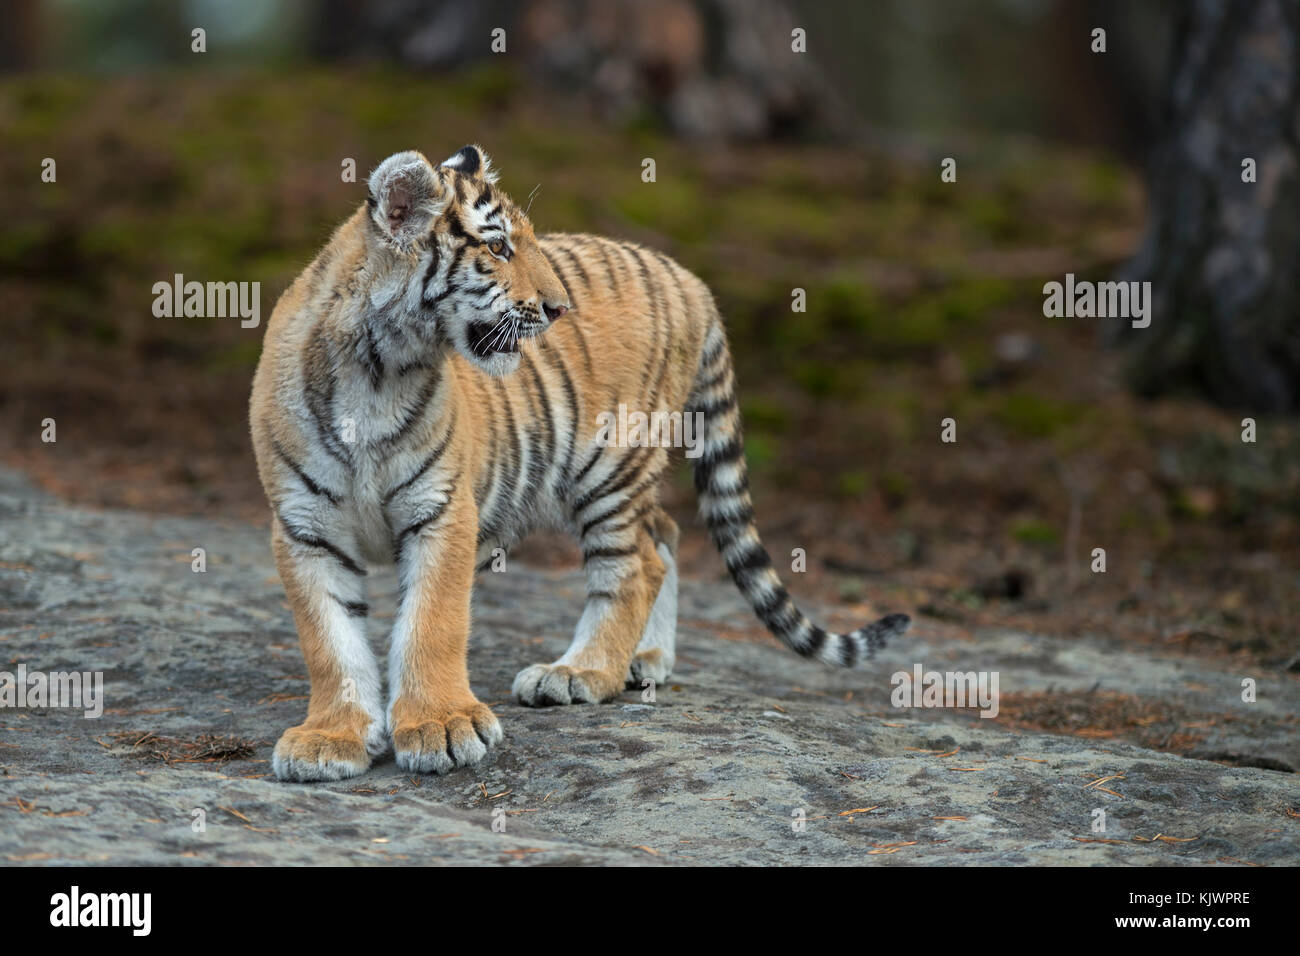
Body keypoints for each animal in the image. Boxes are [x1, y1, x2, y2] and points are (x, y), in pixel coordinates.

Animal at [249, 145, 910, 782]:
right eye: (497, 246)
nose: (559, 308)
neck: (380, 368)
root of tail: (689, 277)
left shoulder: (442, 510)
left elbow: (431, 623)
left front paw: (441, 726)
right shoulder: (305, 528)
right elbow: (330, 641)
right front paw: (329, 739)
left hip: (611, 466)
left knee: (638, 564)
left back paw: (581, 673)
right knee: (665, 533)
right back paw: (646, 661)